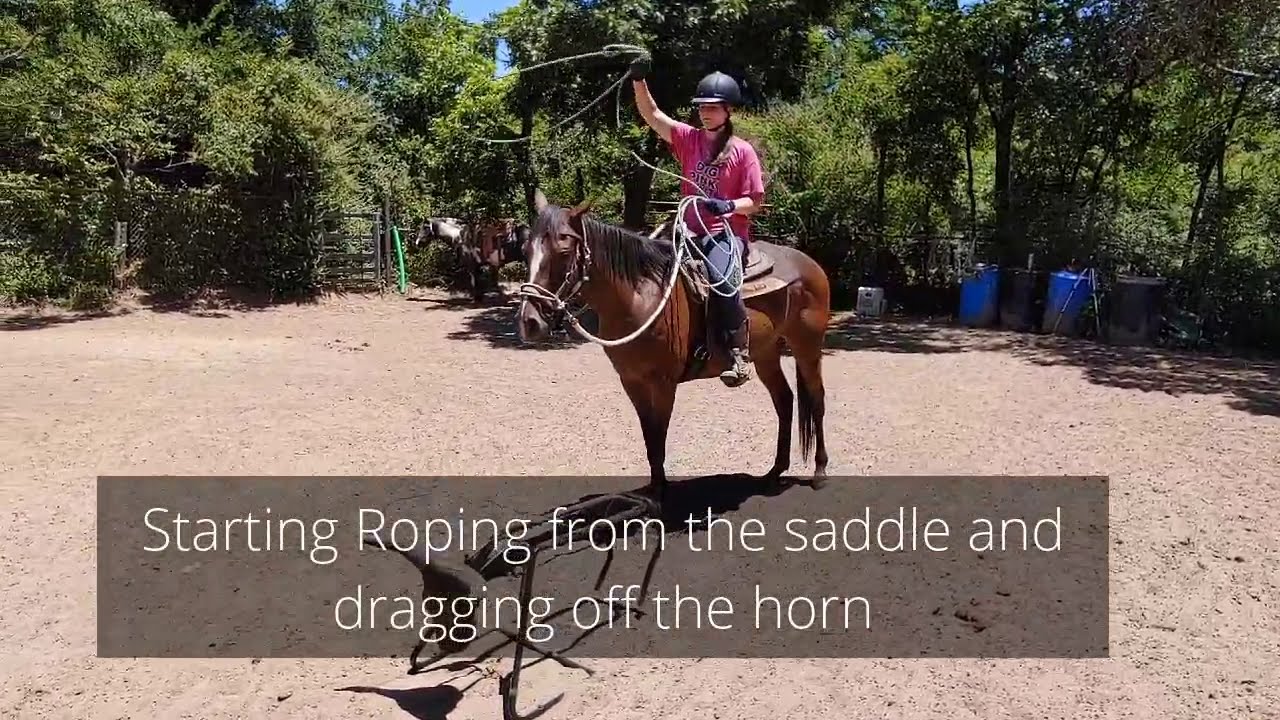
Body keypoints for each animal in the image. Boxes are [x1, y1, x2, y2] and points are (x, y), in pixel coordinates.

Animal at [516, 189, 831, 493]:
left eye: (564, 250)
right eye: (526, 250)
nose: (529, 322)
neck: (639, 295)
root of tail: (810, 263)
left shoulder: (664, 382)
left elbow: (659, 437)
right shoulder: (632, 381)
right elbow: (649, 437)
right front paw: (655, 488)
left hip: (807, 345)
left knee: (816, 399)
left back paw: (819, 471)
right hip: (766, 352)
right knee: (784, 400)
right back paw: (775, 471)